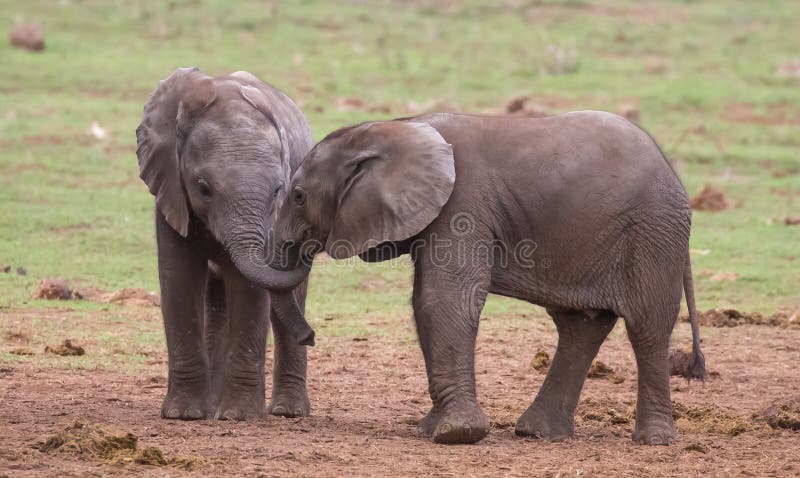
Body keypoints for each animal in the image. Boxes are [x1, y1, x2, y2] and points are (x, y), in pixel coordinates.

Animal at [135, 67, 315, 421]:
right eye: (203, 188)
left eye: (279, 190)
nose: (312, 336)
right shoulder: (170, 191)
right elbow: (178, 278)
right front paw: (183, 415)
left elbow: (250, 290)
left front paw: (240, 417)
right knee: (218, 304)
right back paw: (212, 407)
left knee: (287, 304)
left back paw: (286, 412)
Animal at [237, 111, 706, 445]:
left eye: (299, 196)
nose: (312, 336)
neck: (397, 127)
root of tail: (673, 172)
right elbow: (424, 302)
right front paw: (431, 429)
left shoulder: (463, 206)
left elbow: (444, 299)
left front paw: (456, 435)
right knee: (580, 325)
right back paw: (538, 434)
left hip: (652, 233)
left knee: (647, 326)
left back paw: (653, 442)